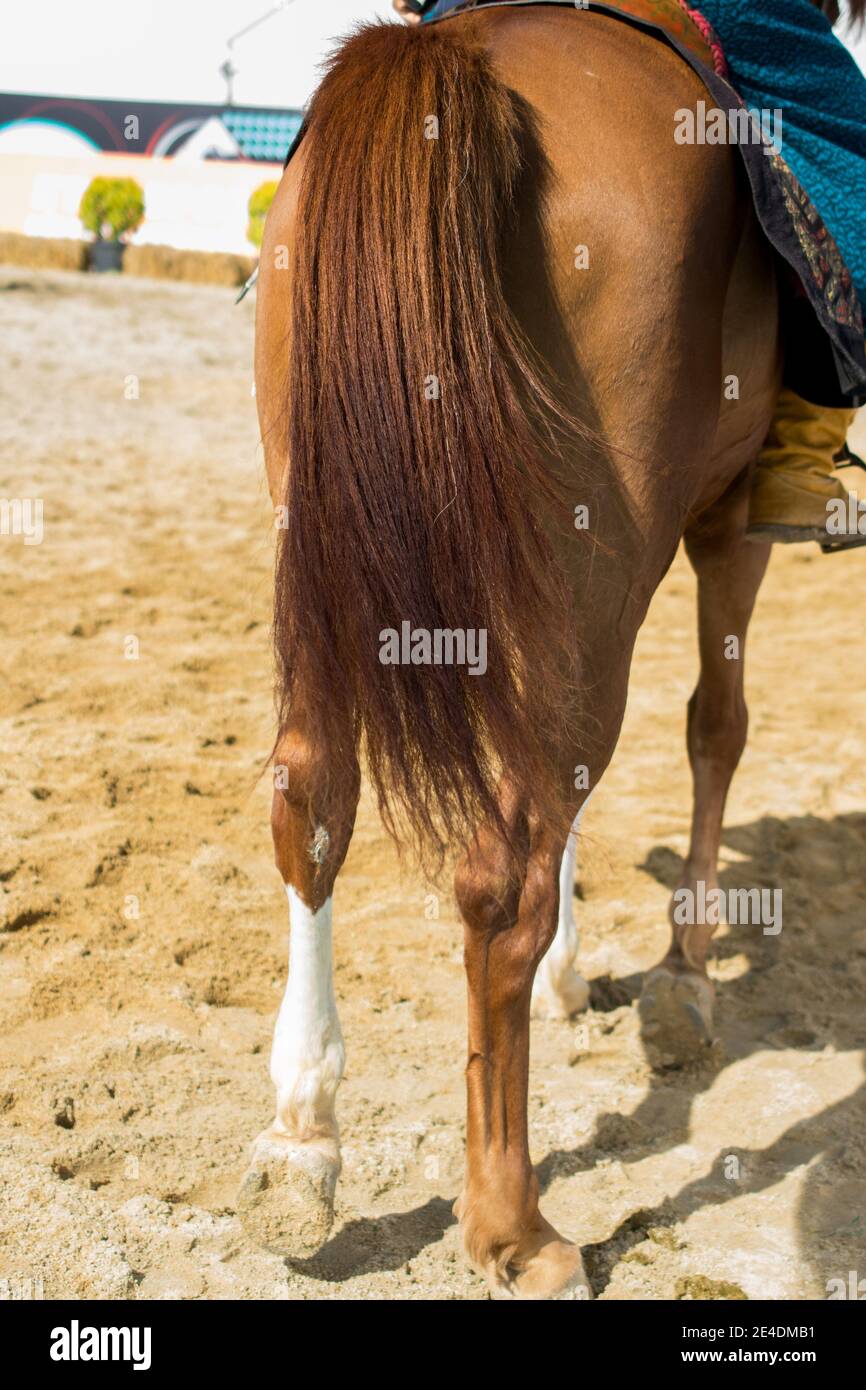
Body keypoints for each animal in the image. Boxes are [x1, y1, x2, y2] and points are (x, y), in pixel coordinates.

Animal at [237, 7, 780, 1299]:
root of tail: (461, 56)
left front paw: (581, 974)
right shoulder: (729, 517)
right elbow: (714, 724)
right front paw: (683, 974)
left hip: (321, 540)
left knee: (310, 796)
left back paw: (301, 1137)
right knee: (498, 881)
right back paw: (511, 1222)